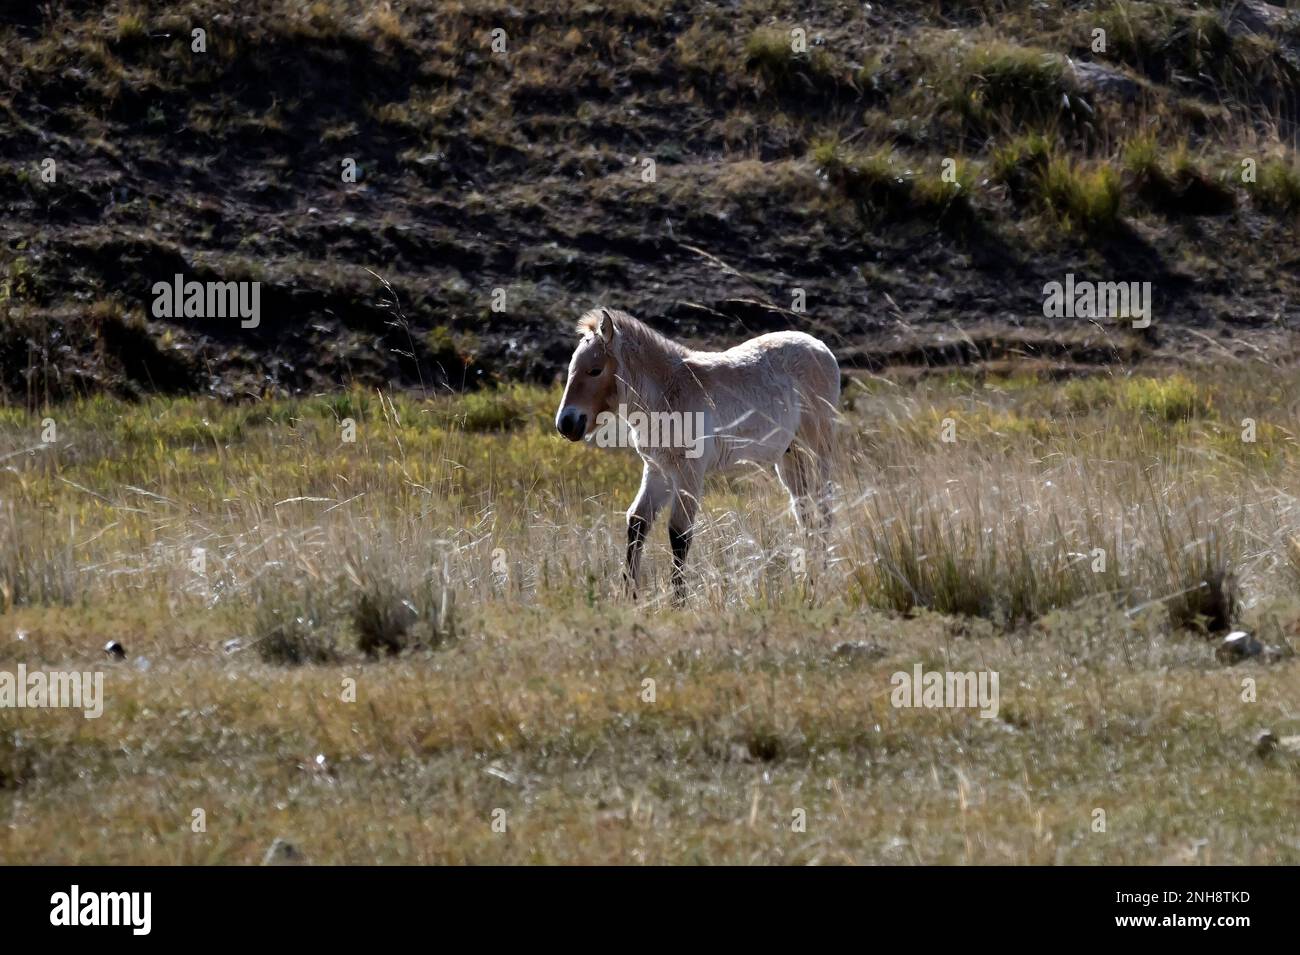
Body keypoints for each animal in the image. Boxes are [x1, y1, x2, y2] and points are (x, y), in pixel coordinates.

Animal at [555, 307, 840, 603]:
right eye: (571, 368)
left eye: (595, 370)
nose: (566, 424)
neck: (667, 391)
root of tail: (820, 347)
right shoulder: (658, 470)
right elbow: (637, 522)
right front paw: (629, 595)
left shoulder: (688, 472)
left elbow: (679, 534)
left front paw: (678, 601)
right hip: (790, 457)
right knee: (805, 512)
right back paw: (808, 576)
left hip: (818, 449)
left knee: (823, 508)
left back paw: (820, 576)